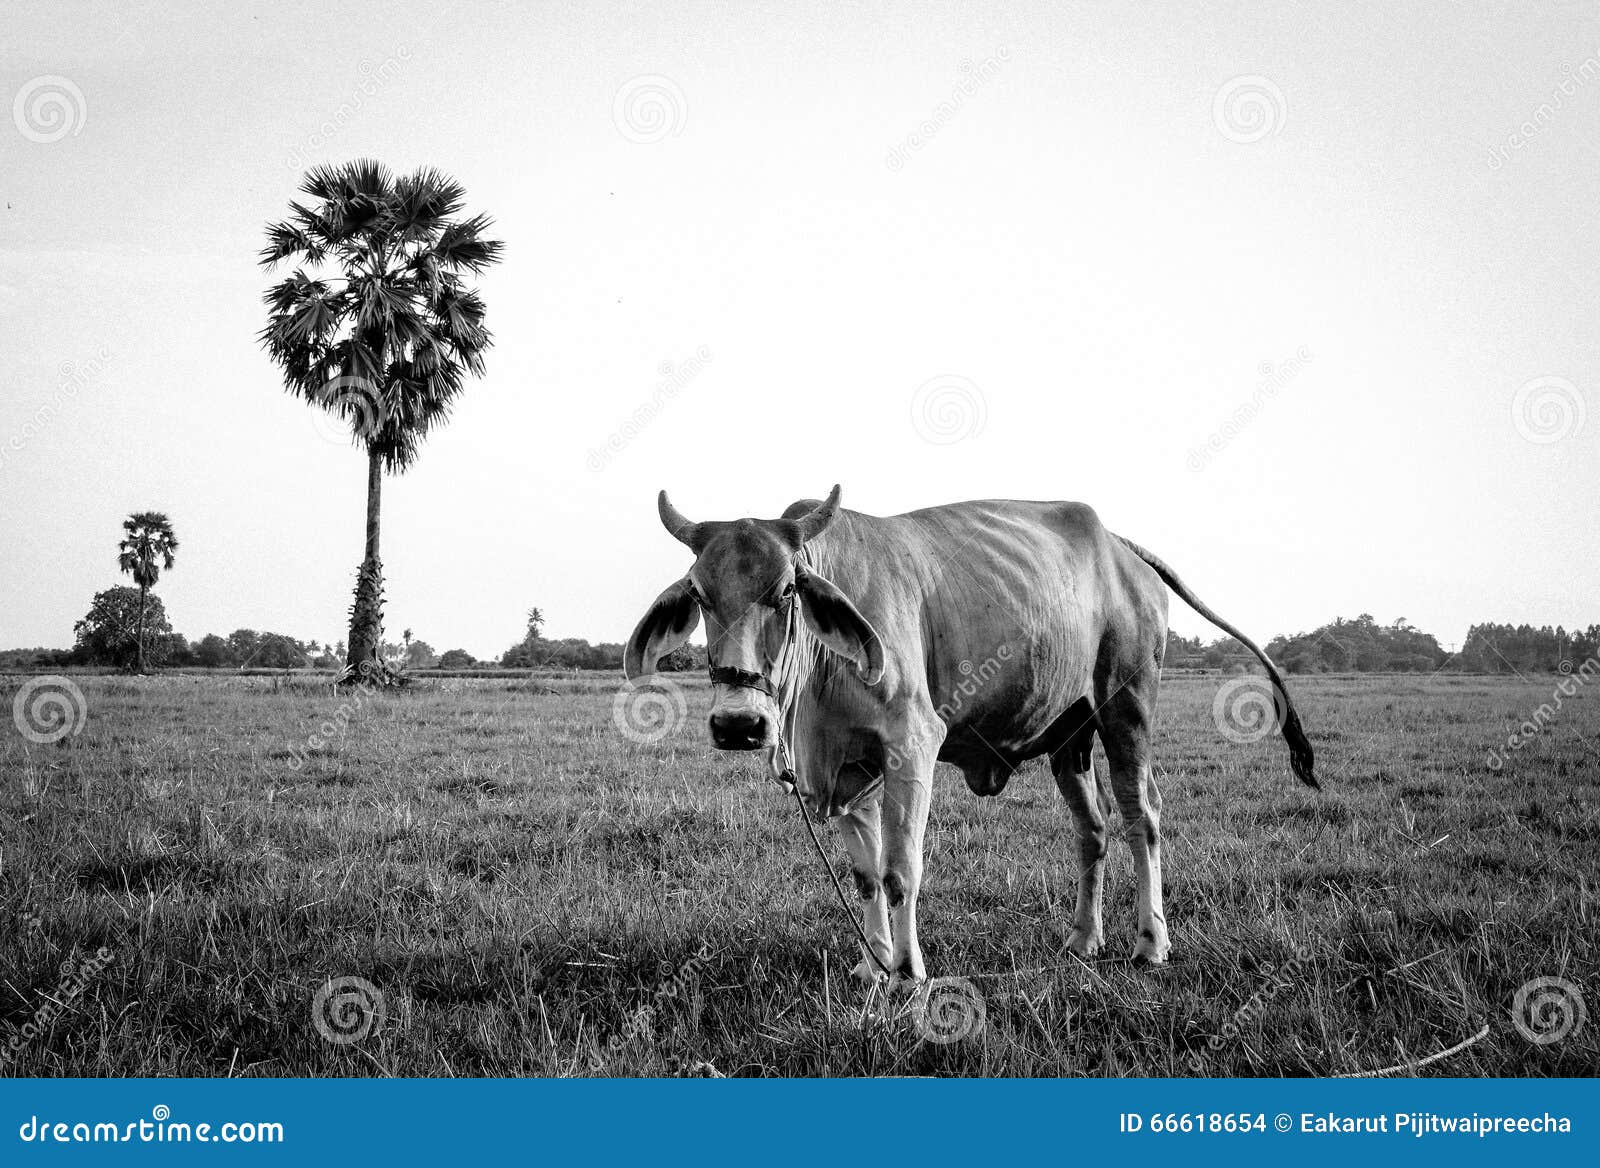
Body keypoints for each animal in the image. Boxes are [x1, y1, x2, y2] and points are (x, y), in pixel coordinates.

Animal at [624, 485, 1316, 983]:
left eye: (787, 590)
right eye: (699, 595)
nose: (738, 724)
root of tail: (1120, 547)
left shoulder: (911, 747)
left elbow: (900, 871)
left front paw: (908, 972)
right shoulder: (849, 774)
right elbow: (866, 877)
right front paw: (870, 966)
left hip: (1128, 708)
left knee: (1141, 816)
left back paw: (1150, 943)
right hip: (1069, 737)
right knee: (1092, 829)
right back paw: (1082, 939)